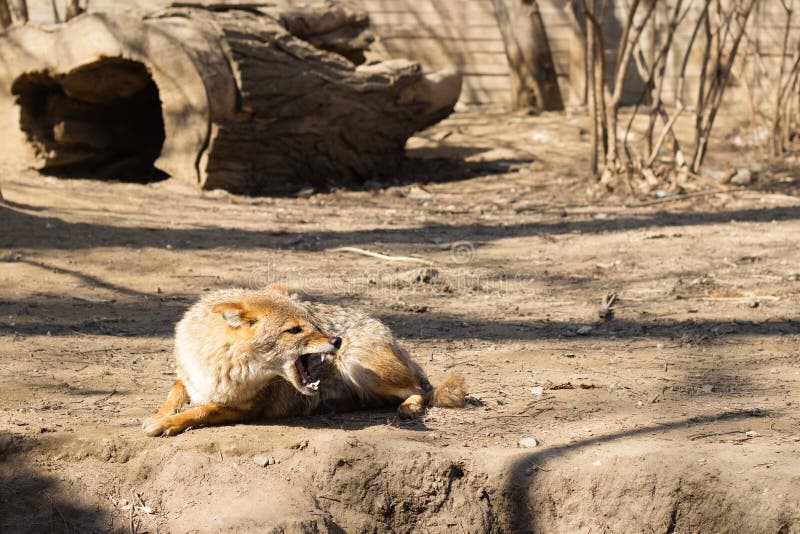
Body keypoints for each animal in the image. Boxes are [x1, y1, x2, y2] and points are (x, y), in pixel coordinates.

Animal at [142, 284, 466, 436]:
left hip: (355, 363)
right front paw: (160, 415)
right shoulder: (188, 378)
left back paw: (408, 406)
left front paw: (166, 423)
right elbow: (174, 394)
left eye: (312, 323)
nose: (336, 339)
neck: (221, 365)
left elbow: (200, 411)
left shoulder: (245, 409)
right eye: (295, 330)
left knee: (421, 390)